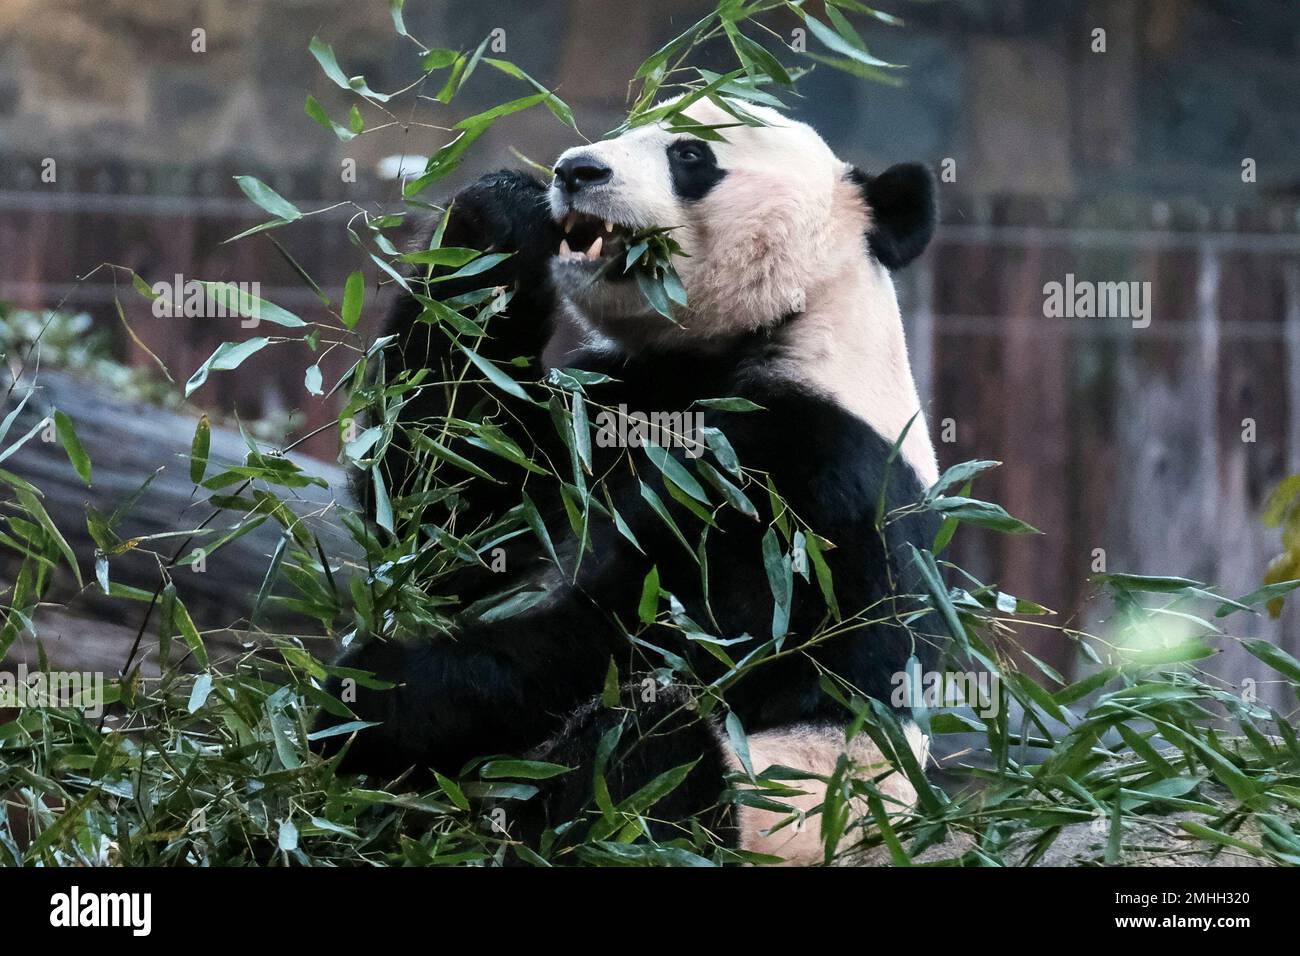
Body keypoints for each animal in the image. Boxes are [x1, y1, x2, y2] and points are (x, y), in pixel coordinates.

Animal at [322, 97, 943, 865]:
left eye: (691, 155)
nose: (576, 170)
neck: (791, 320)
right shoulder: (622, 400)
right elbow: (459, 499)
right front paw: (503, 213)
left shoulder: (808, 476)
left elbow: (654, 634)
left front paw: (372, 694)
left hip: (779, 804)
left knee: (652, 750)